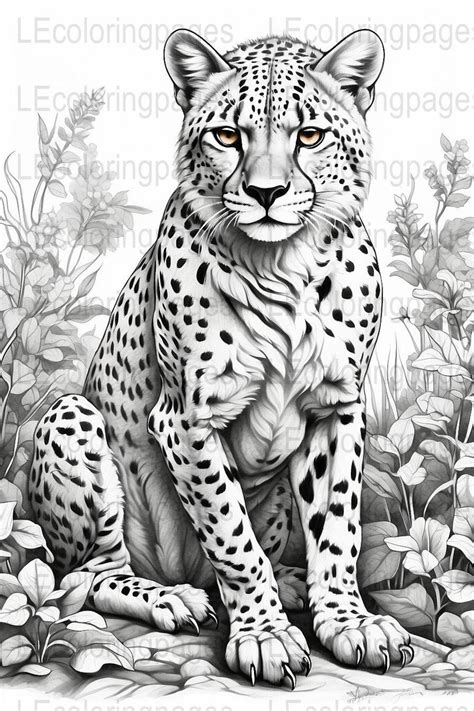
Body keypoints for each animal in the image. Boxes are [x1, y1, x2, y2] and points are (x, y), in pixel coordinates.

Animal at [28, 28, 414, 688]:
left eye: (309, 136)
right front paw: (264, 635)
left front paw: (348, 619)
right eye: (228, 135)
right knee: (85, 577)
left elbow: (337, 524)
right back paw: (173, 597)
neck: (283, 264)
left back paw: (292, 584)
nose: (266, 193)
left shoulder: (337, 409)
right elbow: (231, 534)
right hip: (72, 416)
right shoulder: (184, 418)